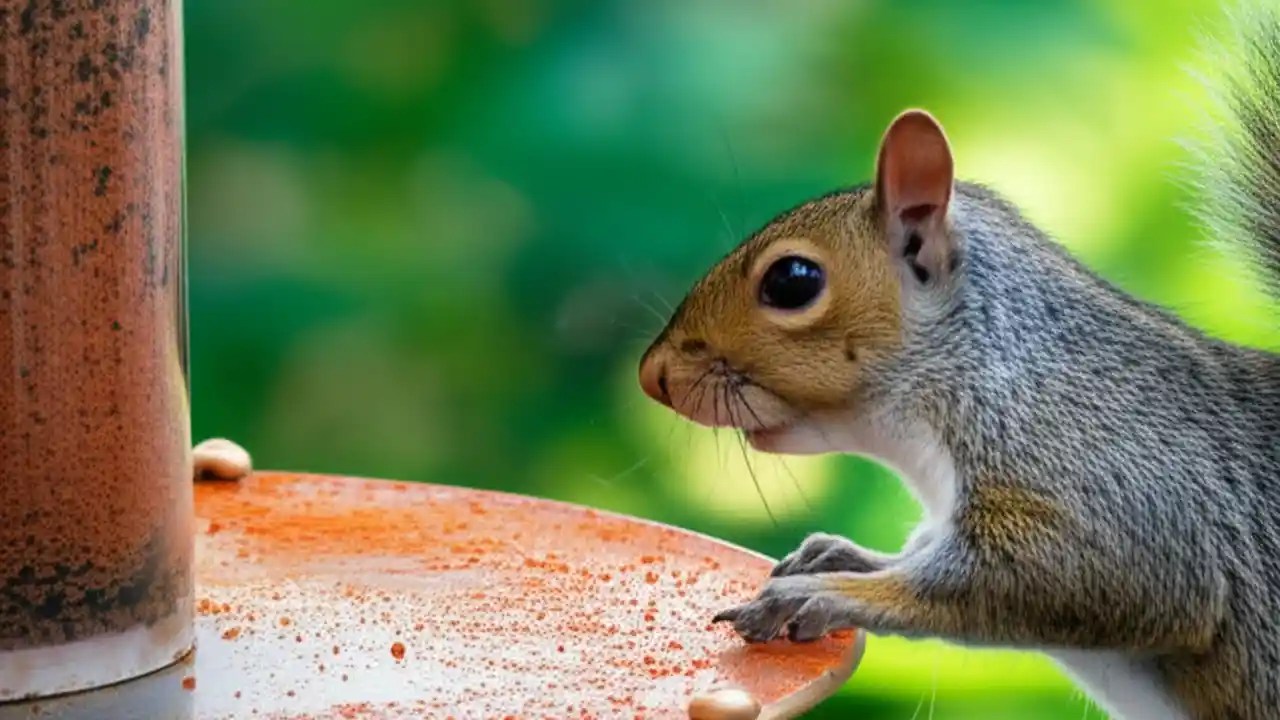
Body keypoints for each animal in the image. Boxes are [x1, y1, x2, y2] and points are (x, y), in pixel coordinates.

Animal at [637, 4, 1280, 719]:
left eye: (792, 280)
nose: (653, 376)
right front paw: (841, 557)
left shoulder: (1121, 490)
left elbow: (1023, 581)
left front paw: (828, 594)